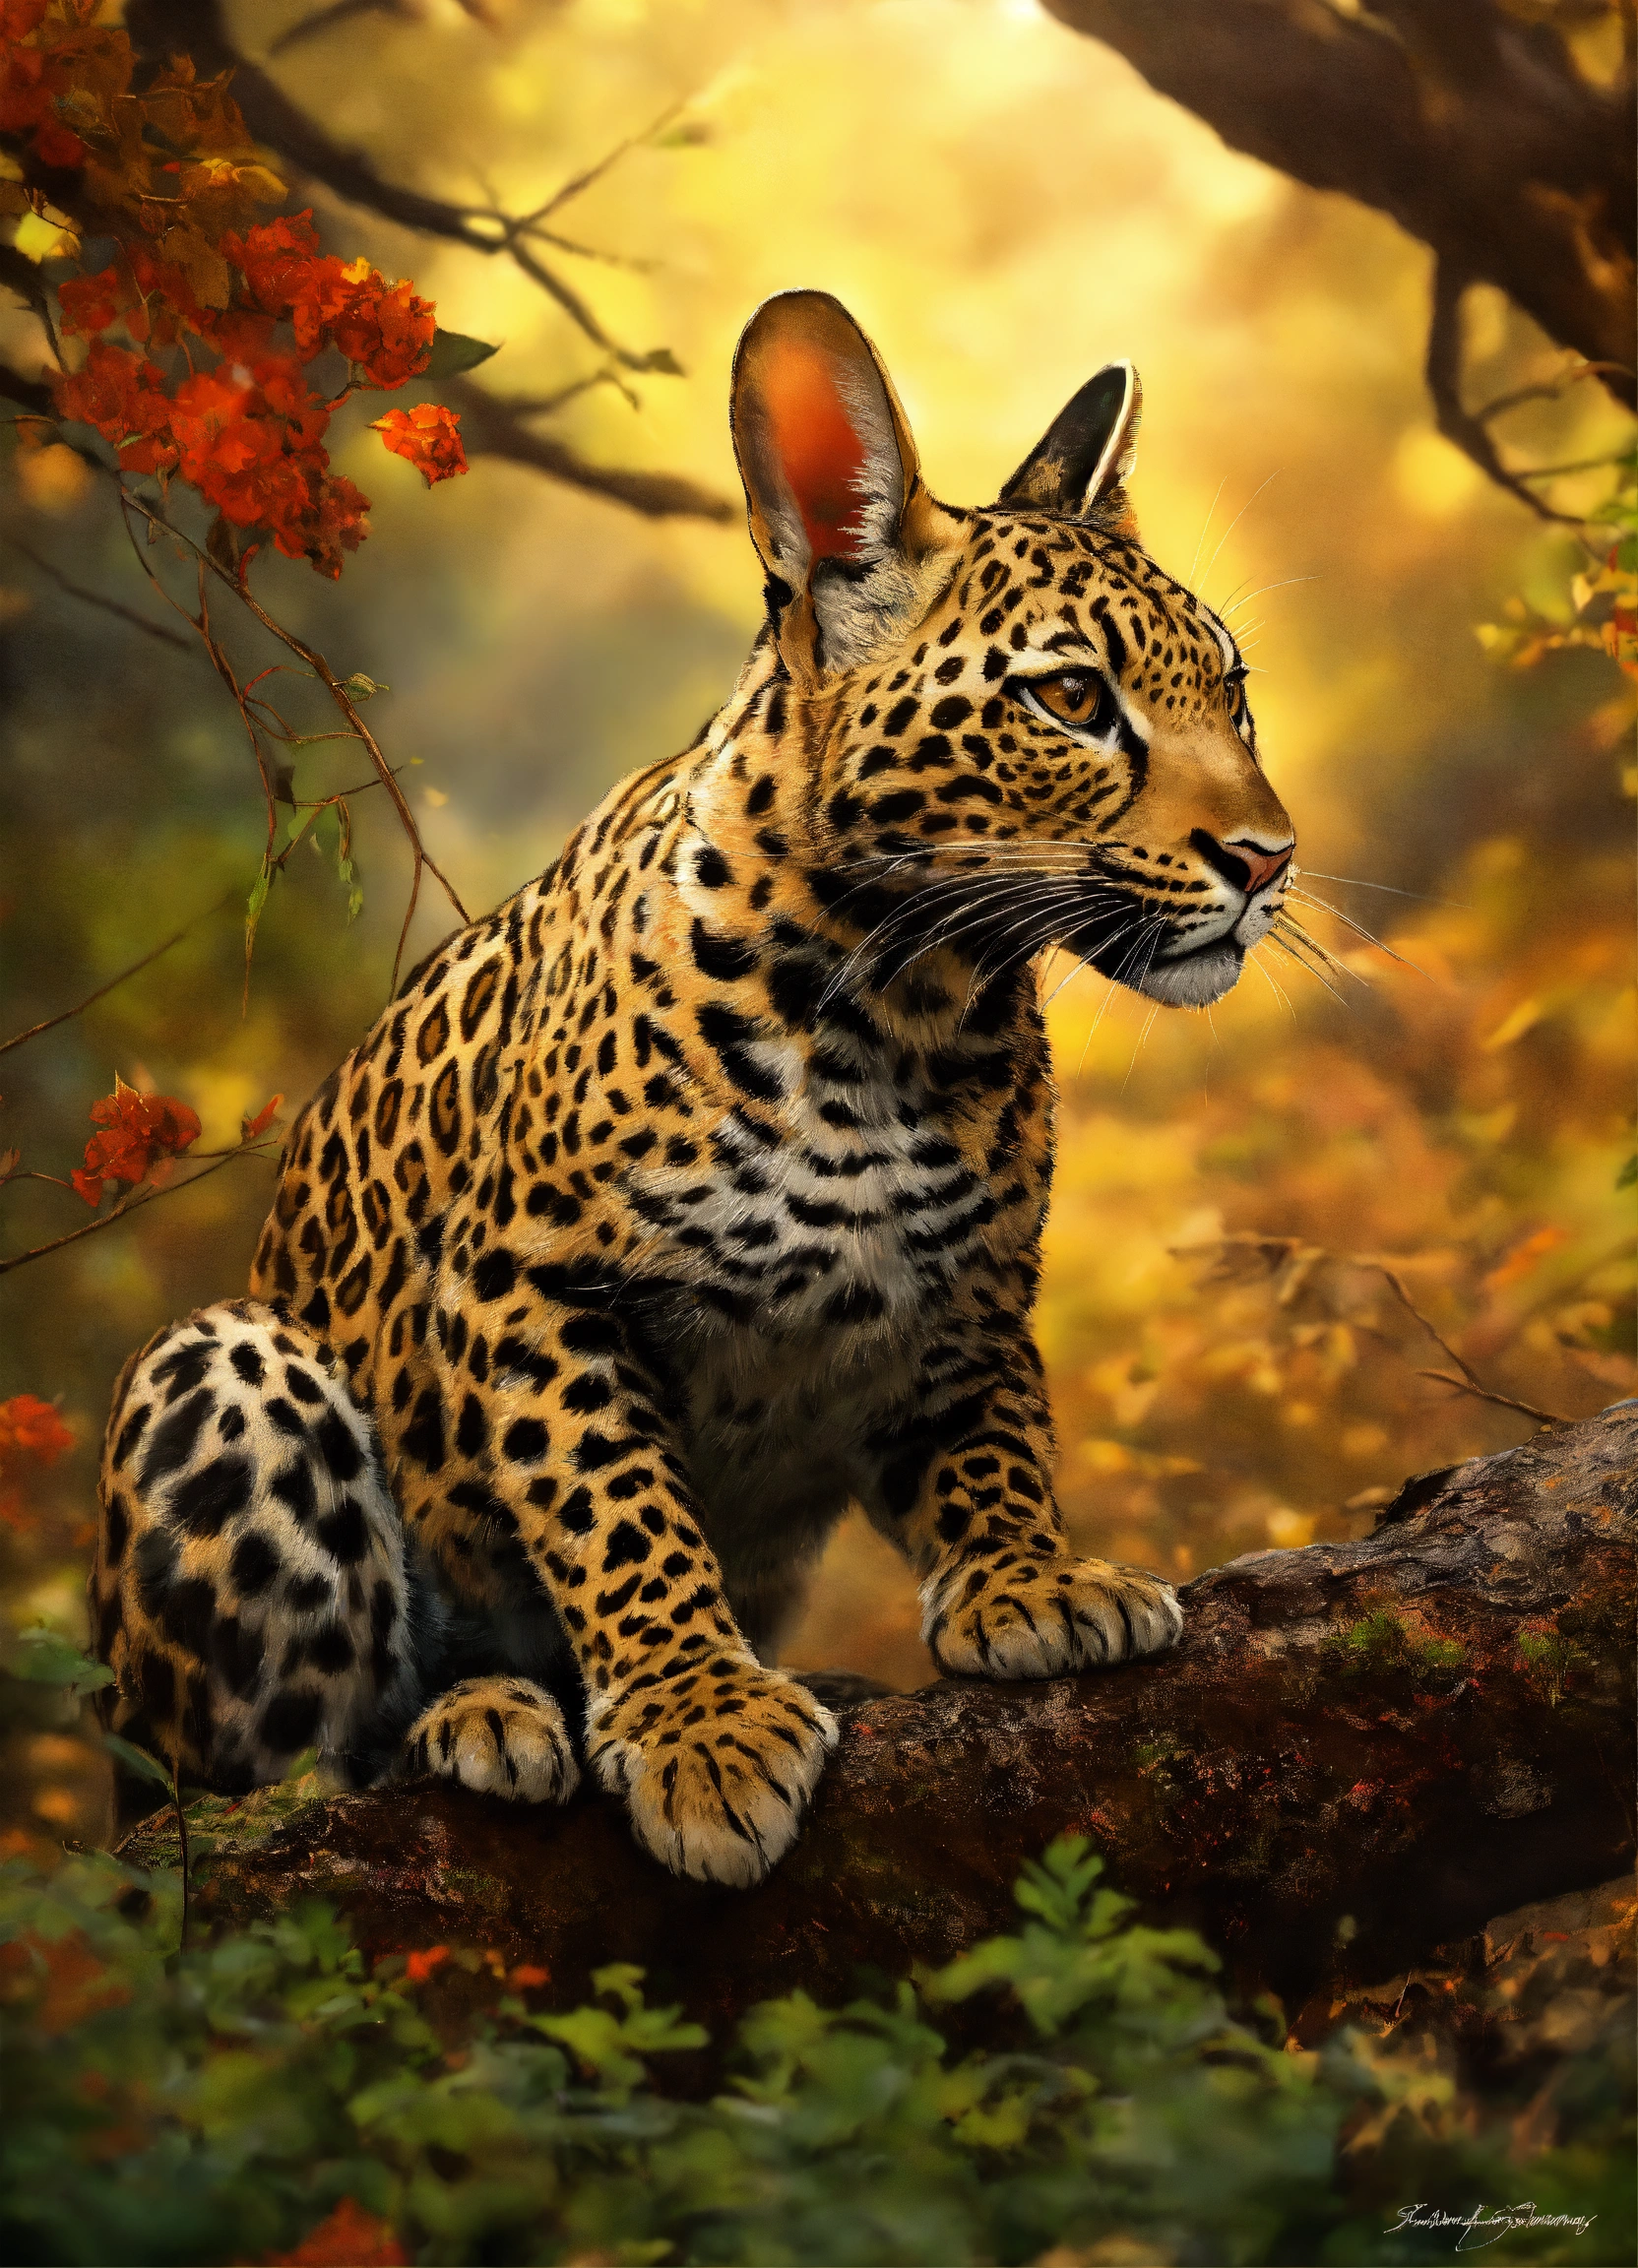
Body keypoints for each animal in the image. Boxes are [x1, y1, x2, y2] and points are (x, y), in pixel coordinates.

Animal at [90, 289, 1295, 1887]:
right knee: (260, 1779)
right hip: (225, 1372)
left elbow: (992, 1435)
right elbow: (614, 1502)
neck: (904, 1011)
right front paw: (703, 1727)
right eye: (1071, 700)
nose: (1271, 860)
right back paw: (478, 1715)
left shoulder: (968, 1287)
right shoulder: (525, 1284)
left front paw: (1031, 1579)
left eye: (1232, 692)